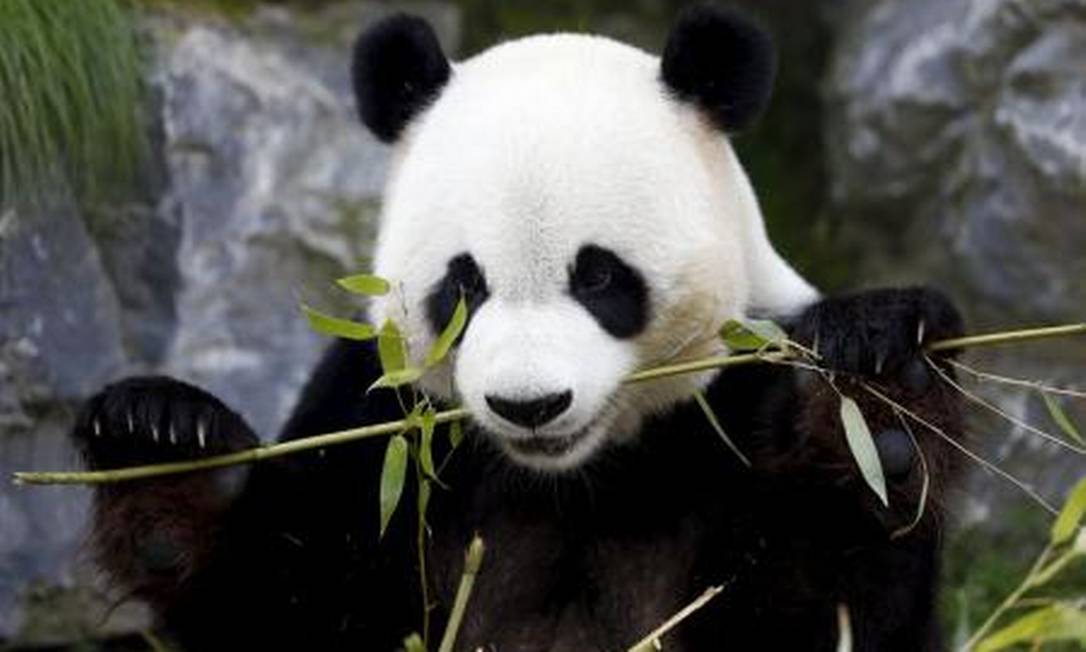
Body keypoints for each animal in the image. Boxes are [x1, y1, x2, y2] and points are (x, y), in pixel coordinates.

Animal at [72, 4, 966, 651]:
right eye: (462, 285)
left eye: (599, 276)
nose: (529, 407)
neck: (570, 477)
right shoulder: (379, 432)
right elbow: (277, 603)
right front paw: (161, 439)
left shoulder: (733, 405)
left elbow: (831, 607)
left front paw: (880, 393)